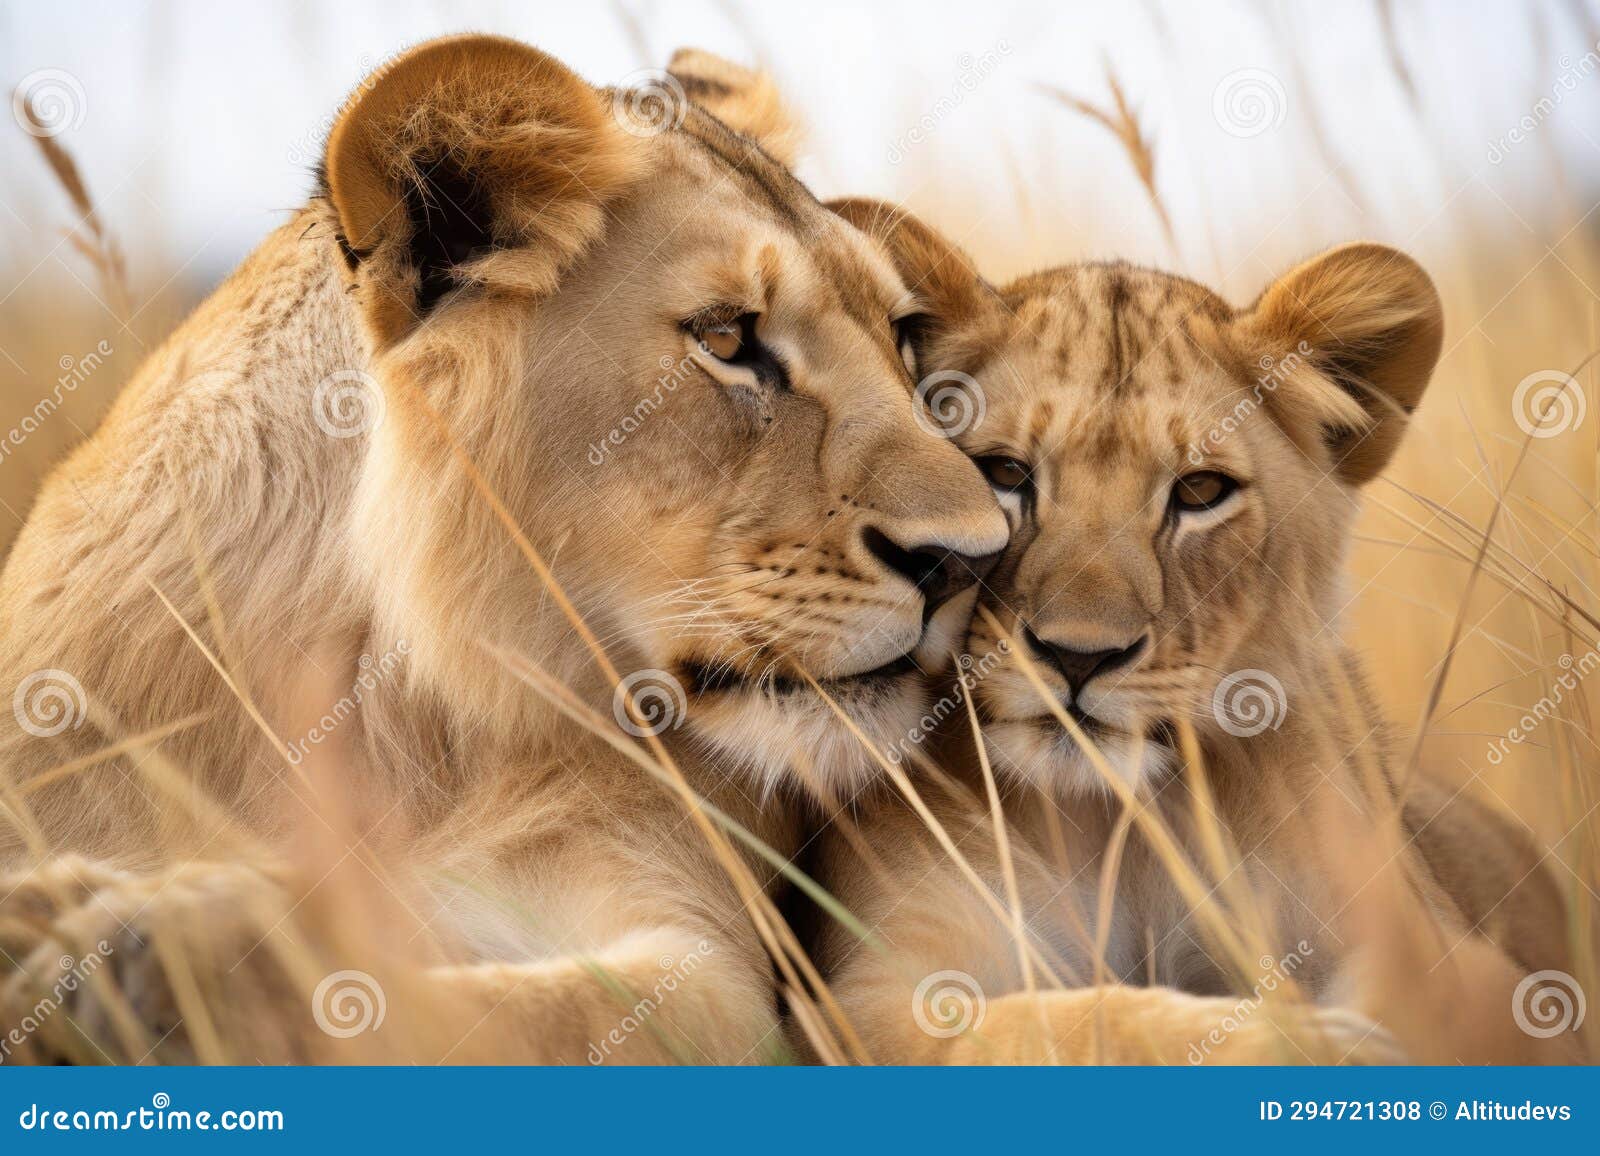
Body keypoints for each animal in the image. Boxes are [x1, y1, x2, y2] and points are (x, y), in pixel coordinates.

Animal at [0, 39, 1008, 1064]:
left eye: (901, 338)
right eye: (727, 336)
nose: (974, 559)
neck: (378, 701)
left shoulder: (706, 969)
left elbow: (453, 1000)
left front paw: (145, 951)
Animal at [804, 202, 1586, 1064]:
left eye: (1202, 490)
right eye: (1004, 474)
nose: (1079, 655)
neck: (1118, 825)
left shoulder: (1461, 955)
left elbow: (1443, 1001)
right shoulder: (873, 995)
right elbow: (1073, 1025)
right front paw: (1311, 1042)